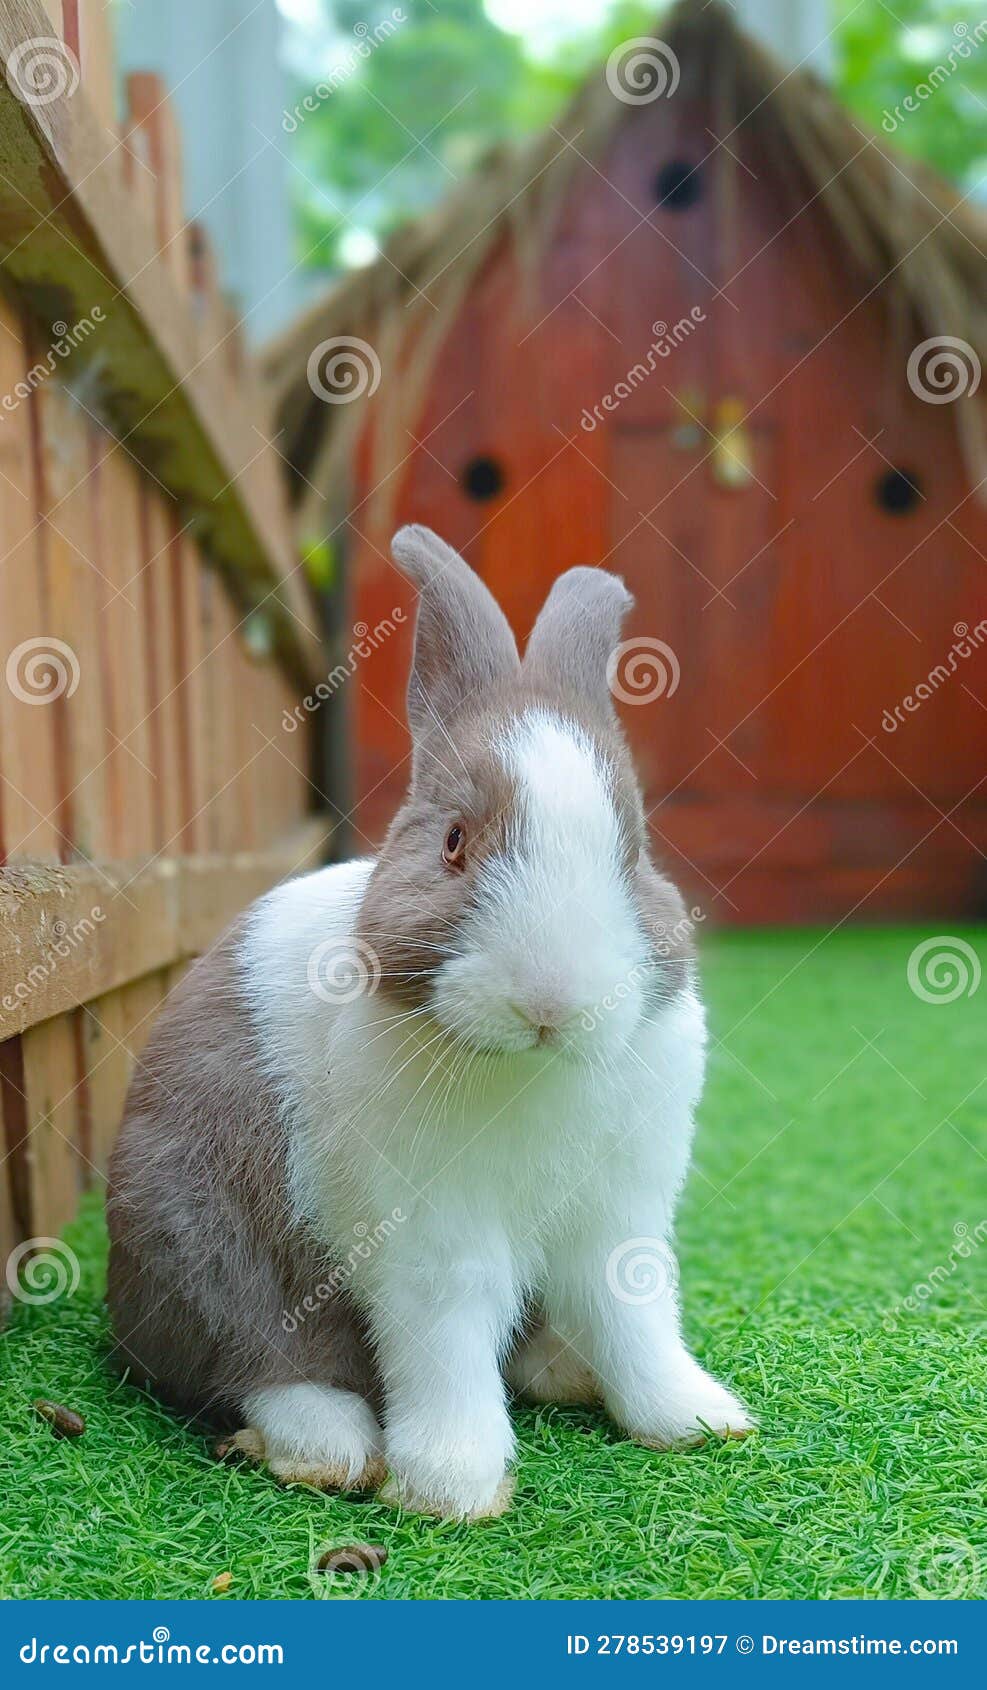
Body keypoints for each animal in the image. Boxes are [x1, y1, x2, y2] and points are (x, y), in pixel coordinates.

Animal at [106, 524, 753, 1519]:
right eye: (452, 843)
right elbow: (445, 1341)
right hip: (196, 1236)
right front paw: (452, 1487)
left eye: (633, 848)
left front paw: (693, 1421)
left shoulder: (621, 1218)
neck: (529, 1068)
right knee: (255, 1362)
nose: (551, 999)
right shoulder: (426, 1235)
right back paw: (331, 1447)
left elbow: (633, 1317)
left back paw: (564, 1371)